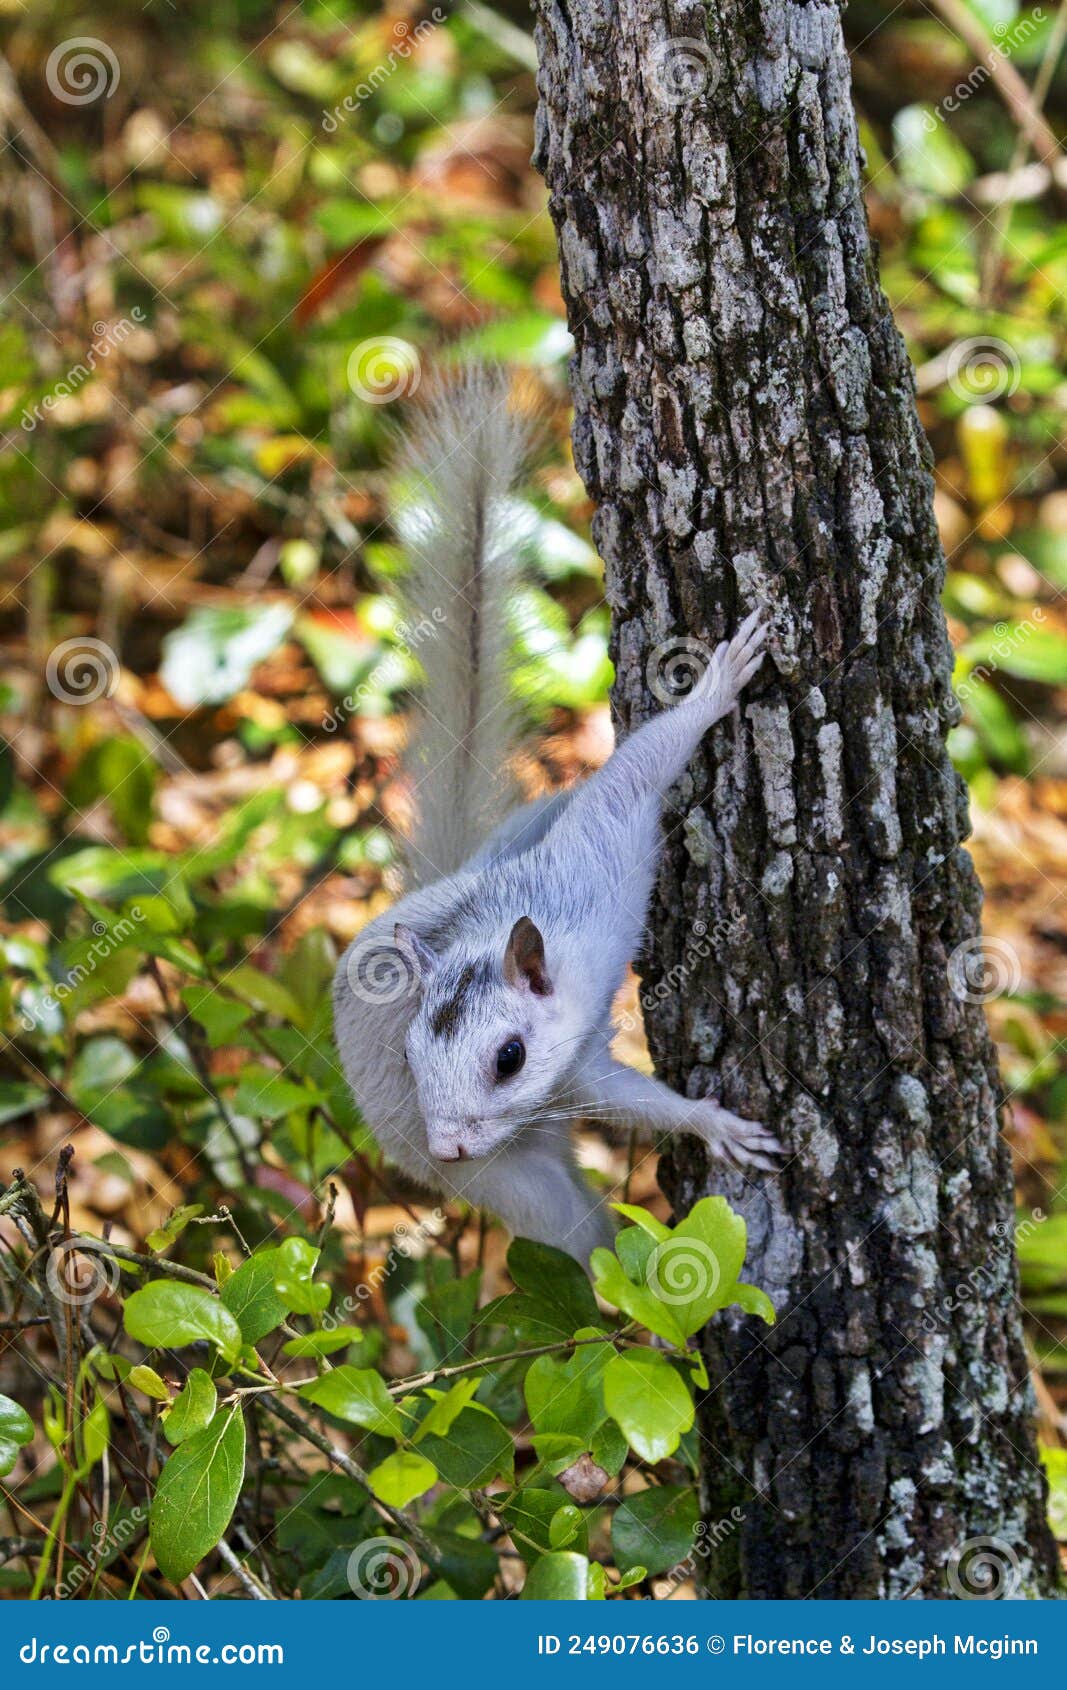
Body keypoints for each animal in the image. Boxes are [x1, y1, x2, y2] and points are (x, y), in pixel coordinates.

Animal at [332, 368, 779, 1265]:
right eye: (410, 1055)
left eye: (509, 1059)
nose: (449, 1146)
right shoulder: (573, 1062)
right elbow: (632, 1099)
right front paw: (711, 1124)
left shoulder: (599, 841)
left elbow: (637, 766)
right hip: (511, 1183)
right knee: (569, 1228)